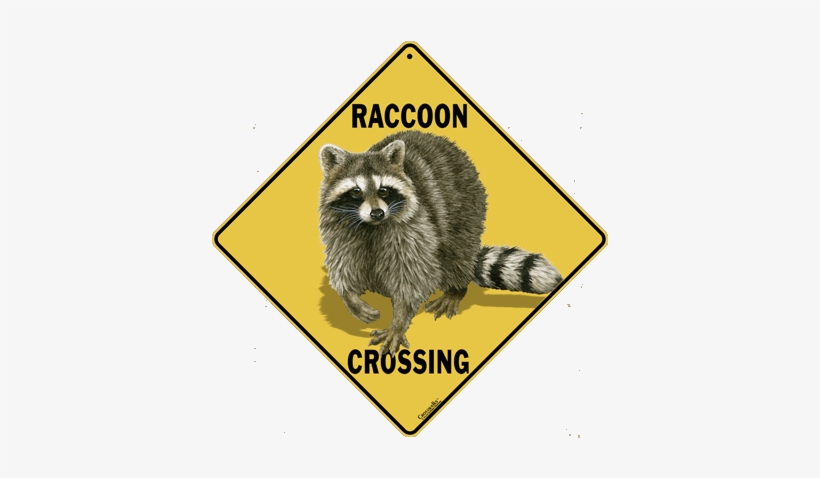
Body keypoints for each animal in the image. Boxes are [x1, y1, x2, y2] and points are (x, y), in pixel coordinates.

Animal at [318, 131, 562, 356]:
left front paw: (399, 321)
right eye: (356, 191)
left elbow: (413, 277)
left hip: (466, 205)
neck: (370, 227)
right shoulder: (341, 232)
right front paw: (350, 297)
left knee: (457, 249)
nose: (377, 213)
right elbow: (343, 265)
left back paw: (456, 288)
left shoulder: (414, 228)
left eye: (384, 190)